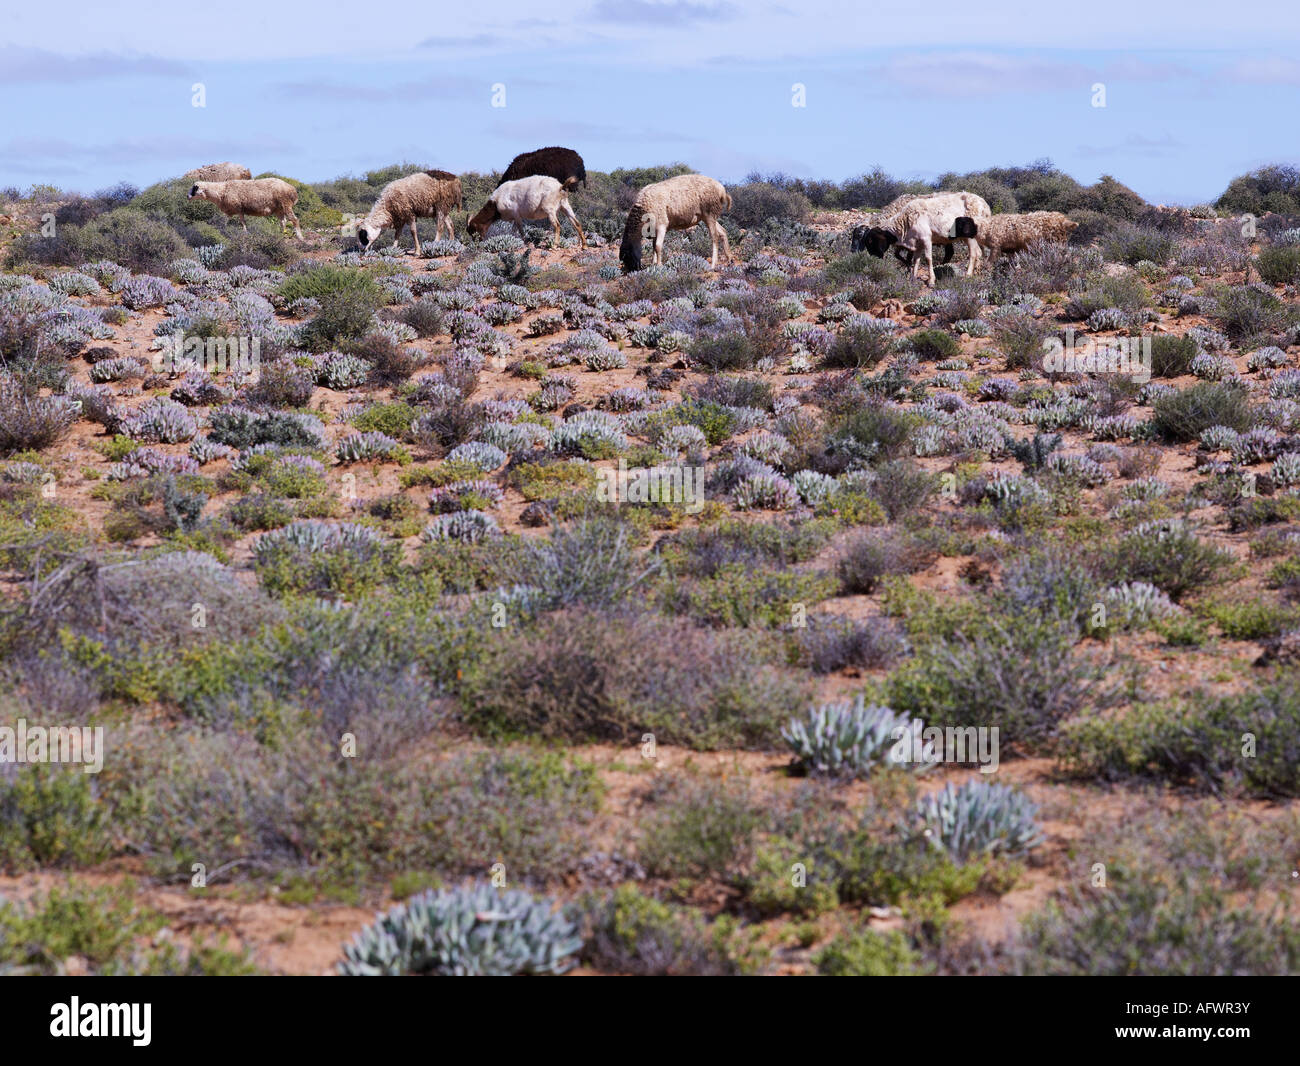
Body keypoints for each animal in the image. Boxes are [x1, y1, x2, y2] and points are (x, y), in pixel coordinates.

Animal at [850, 191, 992, 285]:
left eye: (868, 240)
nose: (875, 258)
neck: (904, 221)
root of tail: (985, 206)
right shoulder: (916, 243)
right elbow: (916, 260)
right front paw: (912, 277)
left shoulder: (926, 238)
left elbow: (928, 258)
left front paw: (931, 280)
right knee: (980, 253)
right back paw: (977, 271)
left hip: (970, 236)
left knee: (974, 254)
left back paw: (968, 274)